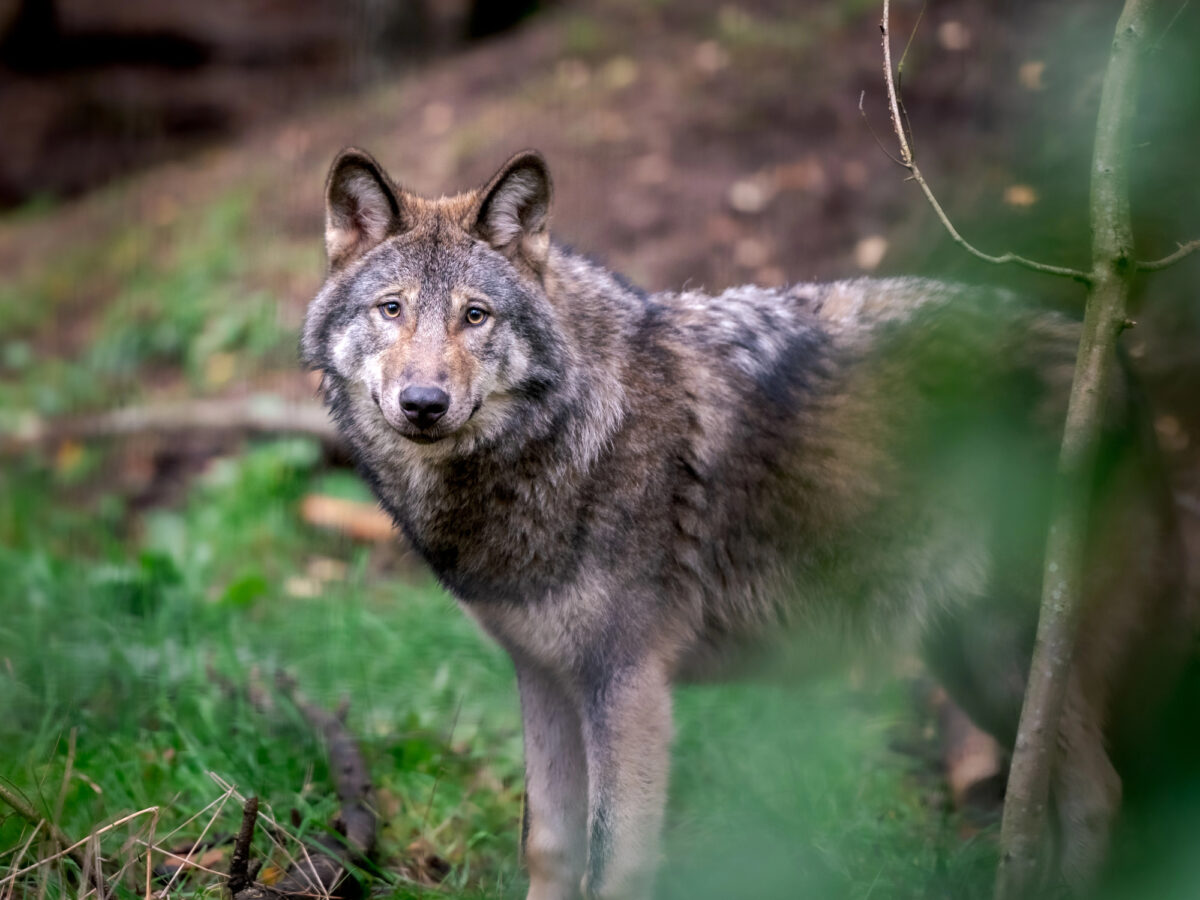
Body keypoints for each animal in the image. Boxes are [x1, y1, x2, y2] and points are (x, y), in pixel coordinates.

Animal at [301, 148, 1187, 899]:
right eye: (391, 309)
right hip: (977, 664)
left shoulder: (628, 686)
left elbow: (612, 864)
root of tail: (1115, 366)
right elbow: (548, 849)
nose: (423, 404)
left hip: (1013, 659)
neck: (566, 437)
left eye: (476, 315)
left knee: (1096, 797)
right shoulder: (545, 676)